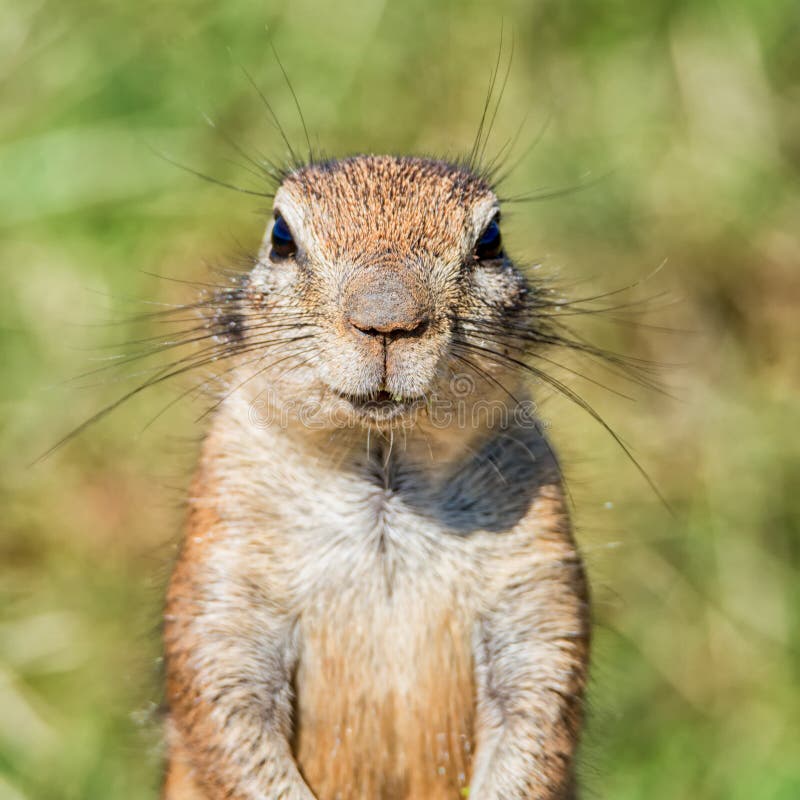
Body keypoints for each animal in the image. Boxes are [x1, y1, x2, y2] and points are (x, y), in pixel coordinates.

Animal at [161, 155, 590, 800]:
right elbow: (223, 703)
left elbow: (540, 696)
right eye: (281, 237)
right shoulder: (224, 569)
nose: (386, 322)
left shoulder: (536, 577)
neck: (384, 474)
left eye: (491, 240)